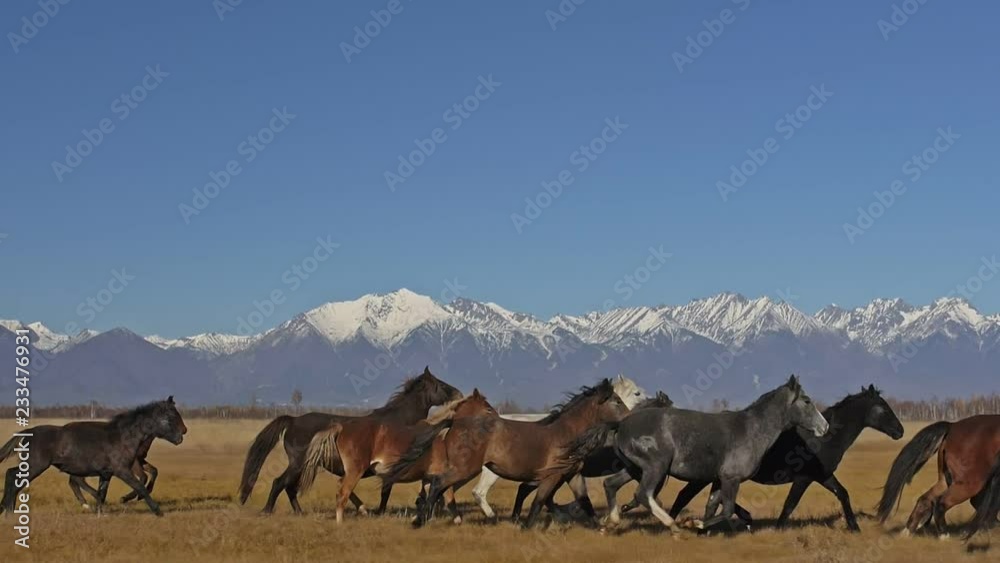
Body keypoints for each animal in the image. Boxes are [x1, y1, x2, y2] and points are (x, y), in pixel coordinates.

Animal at [0, 397, 186, 516]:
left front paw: (100, 512)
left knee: (11, 475)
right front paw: (157, 511)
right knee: (14, 479)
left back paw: (6, 509)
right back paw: (9, 511)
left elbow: (102, 492)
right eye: (171, 415)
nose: (183, 432)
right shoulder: (122, 470)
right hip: (36, 466)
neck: (123, 437)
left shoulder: (106, 473)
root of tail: (27, 432)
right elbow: (140, 486)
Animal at [238, 366, 461, 515]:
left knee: (290, 487)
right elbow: (386, 490)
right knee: (280, 483)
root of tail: (292, 420)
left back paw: (299, 512)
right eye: (440, 384)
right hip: (298, 463)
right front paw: (376, 512)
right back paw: (267, 511)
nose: (458, 393)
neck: (400, 422)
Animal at [384, 378, 630, 528]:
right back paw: (421, 520)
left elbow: (584, 501)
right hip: (465, 469)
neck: (567, 435)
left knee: (438, 488)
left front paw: (602, 526)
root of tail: (455, 422)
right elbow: (539, 501)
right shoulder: (552, 475)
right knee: (438, 484)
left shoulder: (572, 475)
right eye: (617, 402)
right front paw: (526, 526)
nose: (630, 418)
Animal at [551, 375, 828, 534]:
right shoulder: (731, 478)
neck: (752, 430)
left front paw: (703, 529)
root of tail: (621, 424)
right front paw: (692, 524)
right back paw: (671, 525)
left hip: (633, 468)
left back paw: (612, 521)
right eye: (806, 401)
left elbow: (713, 506)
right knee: (643, 494)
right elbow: (726, 509)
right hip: (655, 467)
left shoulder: (718, 480)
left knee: (611, 484)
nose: (824, 427)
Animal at [629, 384, 903, 532]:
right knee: (683, 496)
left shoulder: (823, 476)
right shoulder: (805, 478)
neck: (823, 440)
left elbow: (843, 494)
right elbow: (790, 504)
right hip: (702, 477)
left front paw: (854, 527)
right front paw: (778, 528)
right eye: (883, 408)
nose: (900, 431)